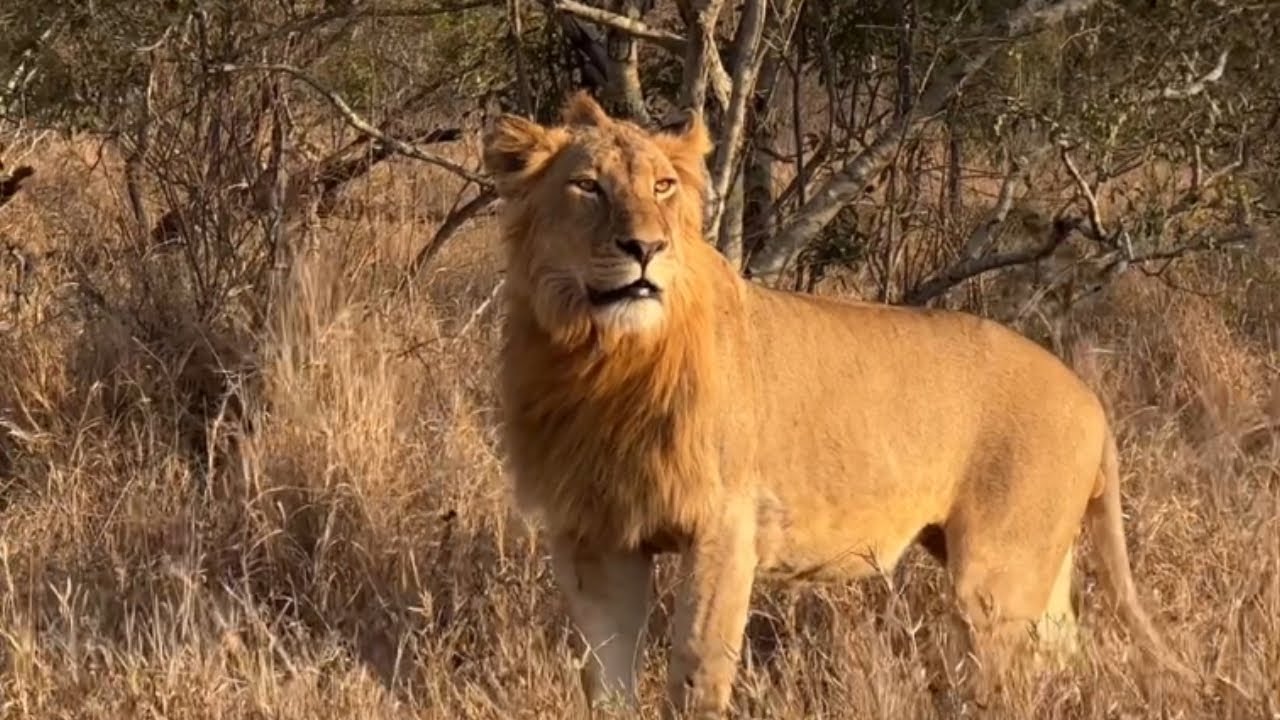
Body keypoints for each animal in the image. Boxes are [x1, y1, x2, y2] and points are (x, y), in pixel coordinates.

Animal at [483, 92, 1192, 718]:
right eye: (587, 186)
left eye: (662, 187)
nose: (645, 249)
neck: (600, 358)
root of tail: (1089, 397)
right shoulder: (596, 536)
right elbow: (603, 680)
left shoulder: (725, 527)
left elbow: (696, 672)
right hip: (1034, 564)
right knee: (1069, 651)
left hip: (998, 574)